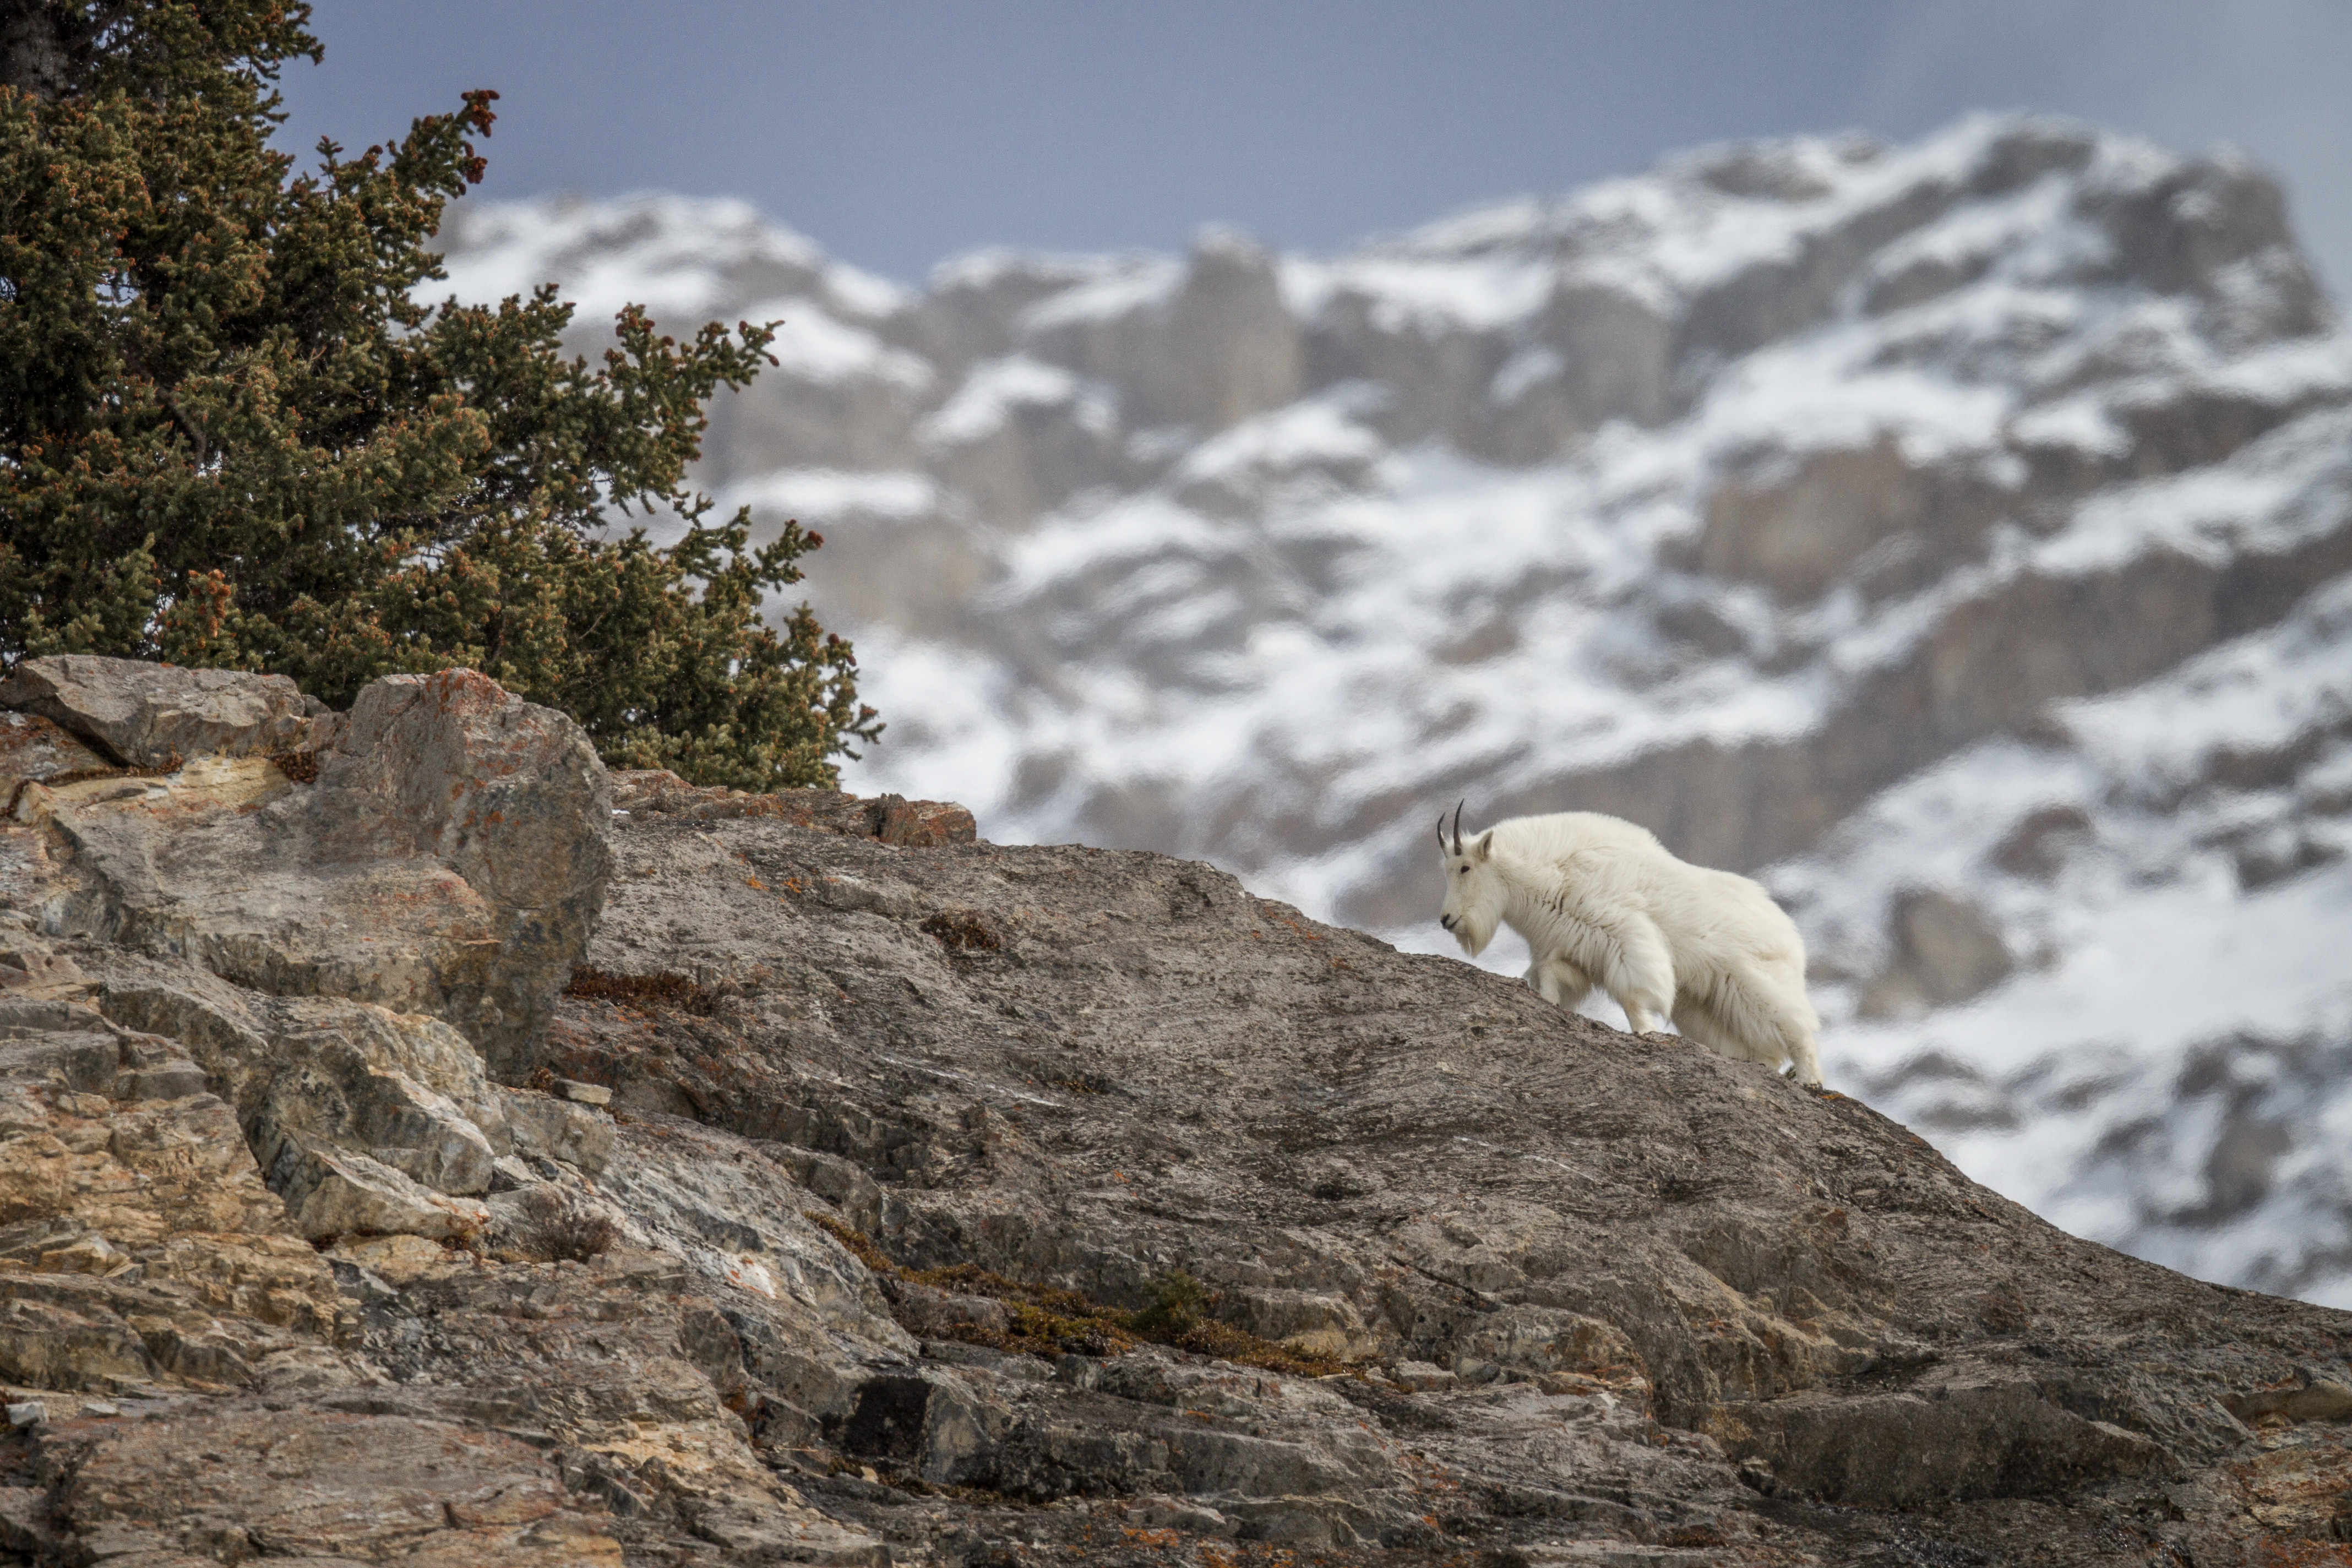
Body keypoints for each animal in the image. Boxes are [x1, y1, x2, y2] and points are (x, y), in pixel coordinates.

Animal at [1435, 804, 1823, 1086]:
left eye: (1465, 868)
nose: (1446, 919)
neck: (1551, 872)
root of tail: (1791, 934)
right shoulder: (1568, 951)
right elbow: (1550, 978)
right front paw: (1549, 1004)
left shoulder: (1622, 935)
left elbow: (1634, 992)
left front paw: (1645, 1032)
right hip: (1706, 1007)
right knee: (1764, 1048)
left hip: (1753, 978)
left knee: (1796, 1028)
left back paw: (1809, 1081)